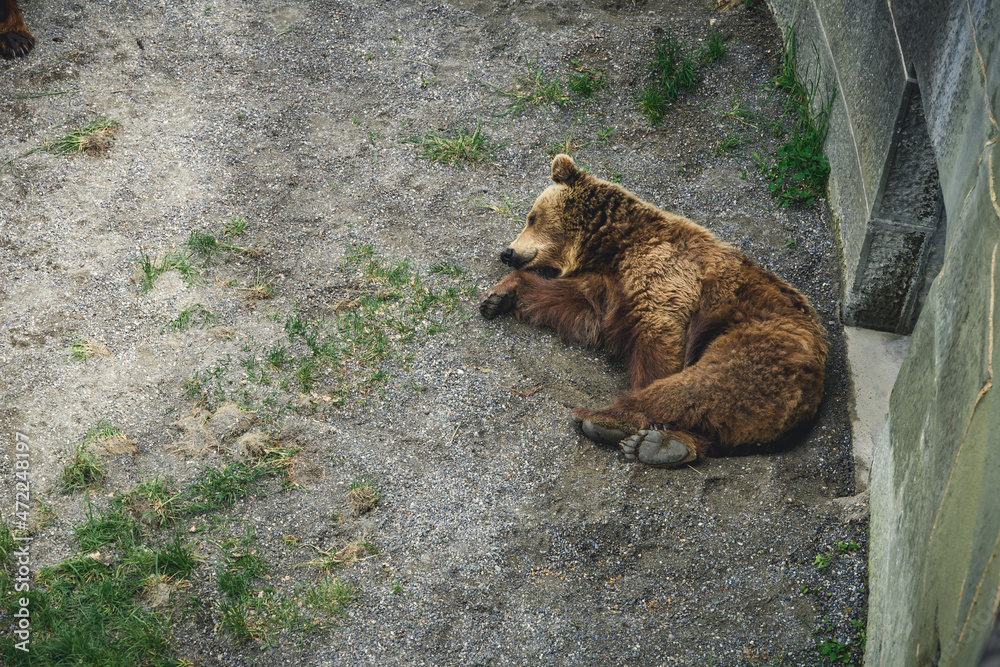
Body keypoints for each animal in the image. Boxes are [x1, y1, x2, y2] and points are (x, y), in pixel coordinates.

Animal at [480, 154, 827, 467]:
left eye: (531, 217)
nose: (507, 252)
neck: (614, 246)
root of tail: (810, 397)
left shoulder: (667, 274)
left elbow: (657, 338)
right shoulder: (610, 285)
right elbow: (576, 307)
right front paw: (499, 296)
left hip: (755, 346)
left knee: (699, 387)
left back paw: (604, 420)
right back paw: (664, 446)